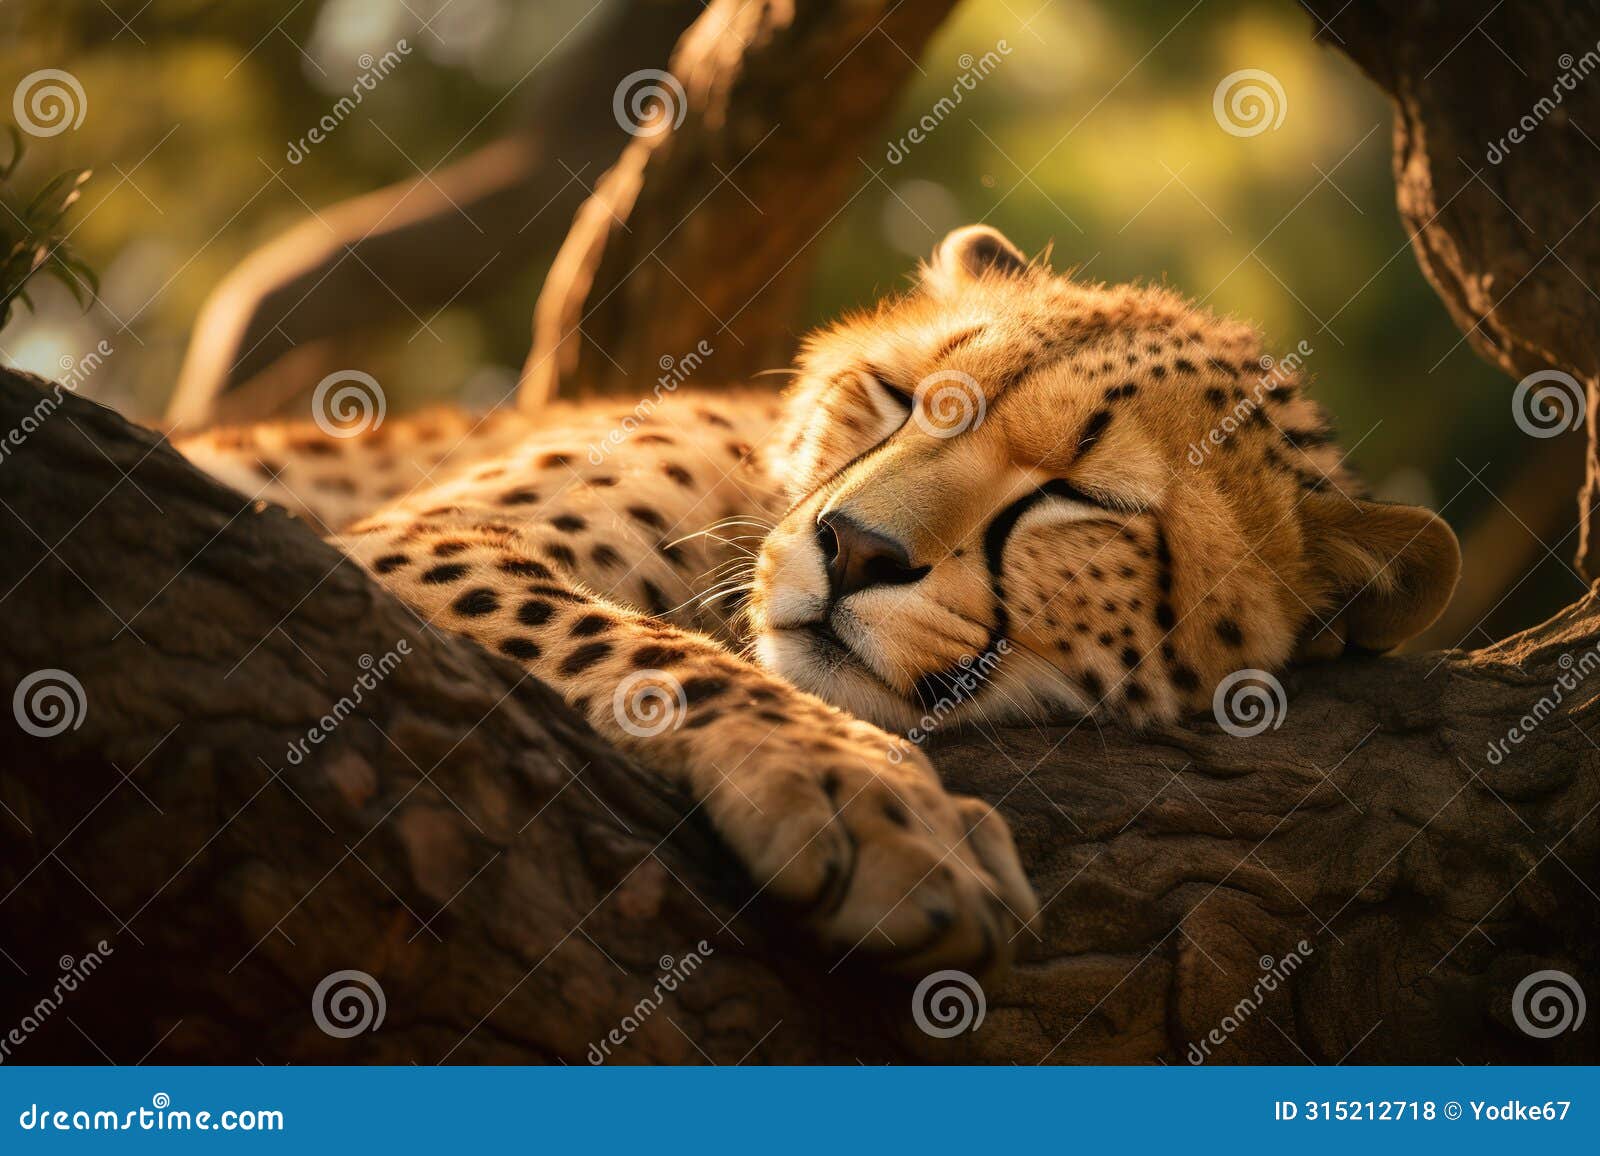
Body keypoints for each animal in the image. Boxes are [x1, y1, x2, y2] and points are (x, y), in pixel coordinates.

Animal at [175, 225, 1461, 979]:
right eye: (896, 394)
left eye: (1078, 496)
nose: (851, 546)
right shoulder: (406, 541)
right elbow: (661, 650)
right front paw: (874, 808)